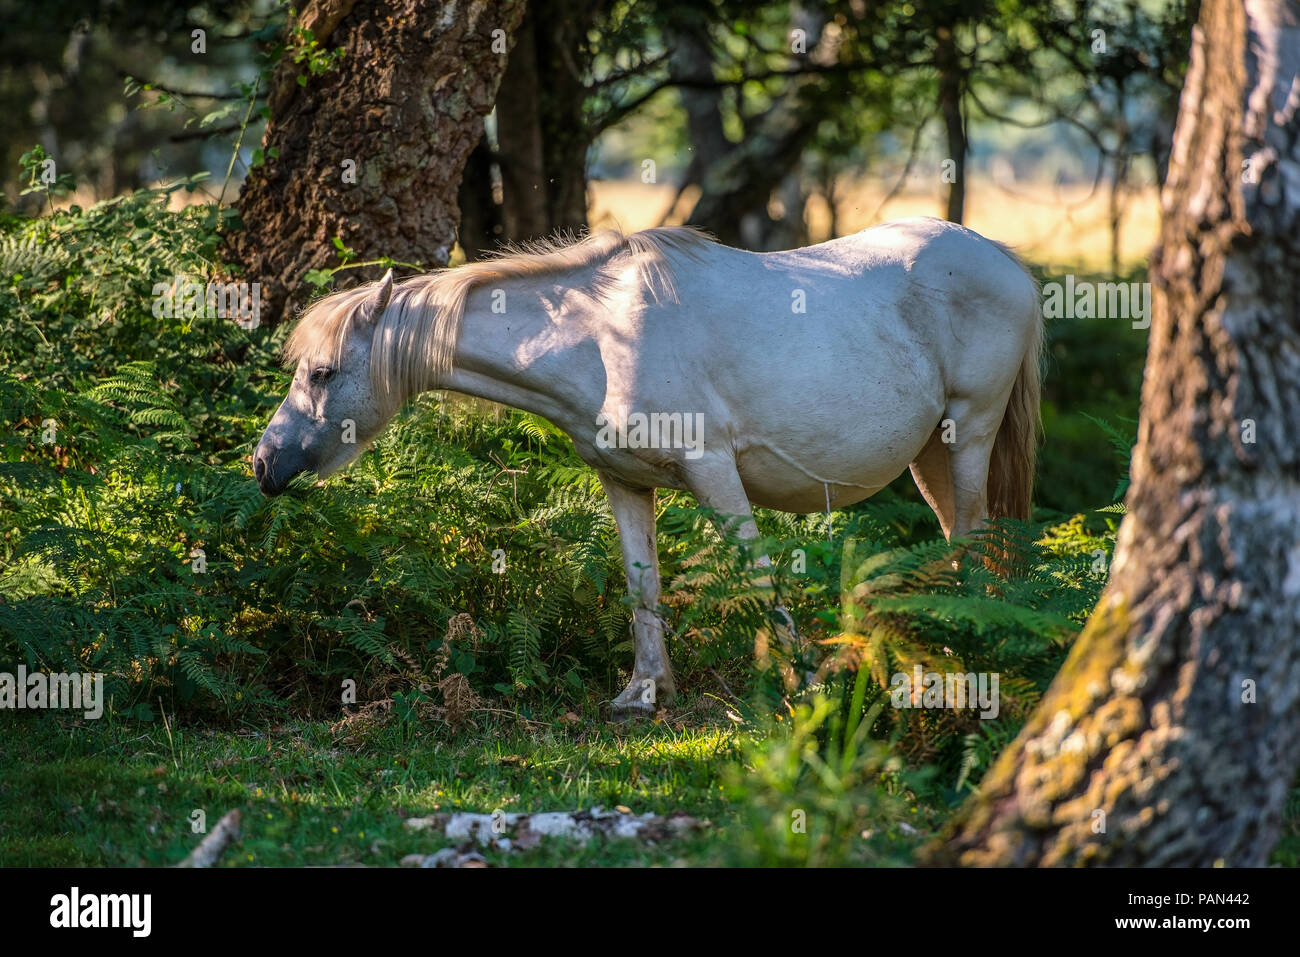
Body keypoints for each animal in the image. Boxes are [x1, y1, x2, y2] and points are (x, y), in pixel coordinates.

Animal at [254, 217, 1043, 717]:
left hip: (969, 433)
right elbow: (643, 588)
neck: (601, 338)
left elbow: (758, 574)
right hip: (929, 455)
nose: (264, 463)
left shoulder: (713, 469)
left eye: (323, 372)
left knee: (975, 539)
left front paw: (805, 682)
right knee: (959, 539)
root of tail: (1002, 256)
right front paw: (645, 693)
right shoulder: (625, 482)